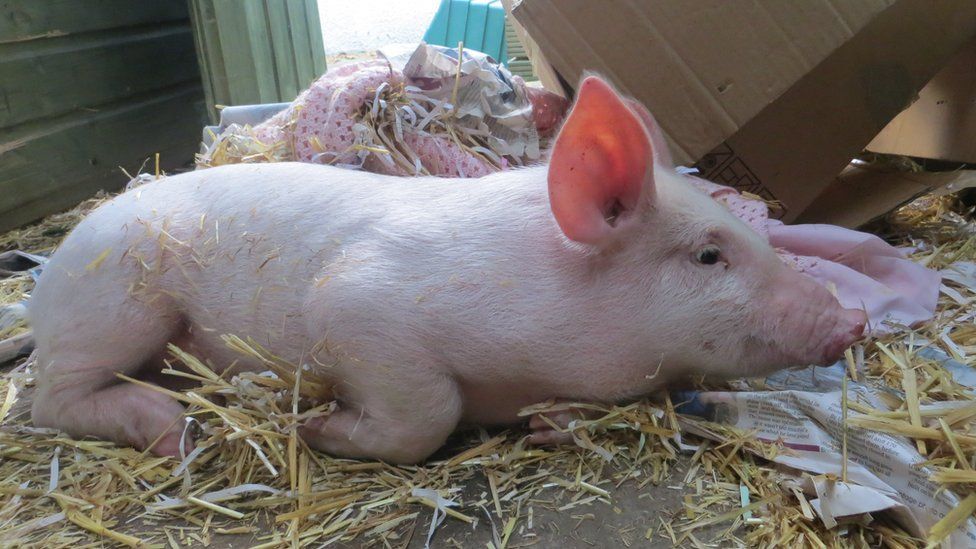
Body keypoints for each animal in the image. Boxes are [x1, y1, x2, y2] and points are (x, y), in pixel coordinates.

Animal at [28, 76, 865, 464]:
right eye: (709, 254)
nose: (852, 318)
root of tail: (52, 268)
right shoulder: (359, 307)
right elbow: (427, 412)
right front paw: (315, 426)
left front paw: (550, 426)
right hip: (117, 302)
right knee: (49, 401)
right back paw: (177, 432)